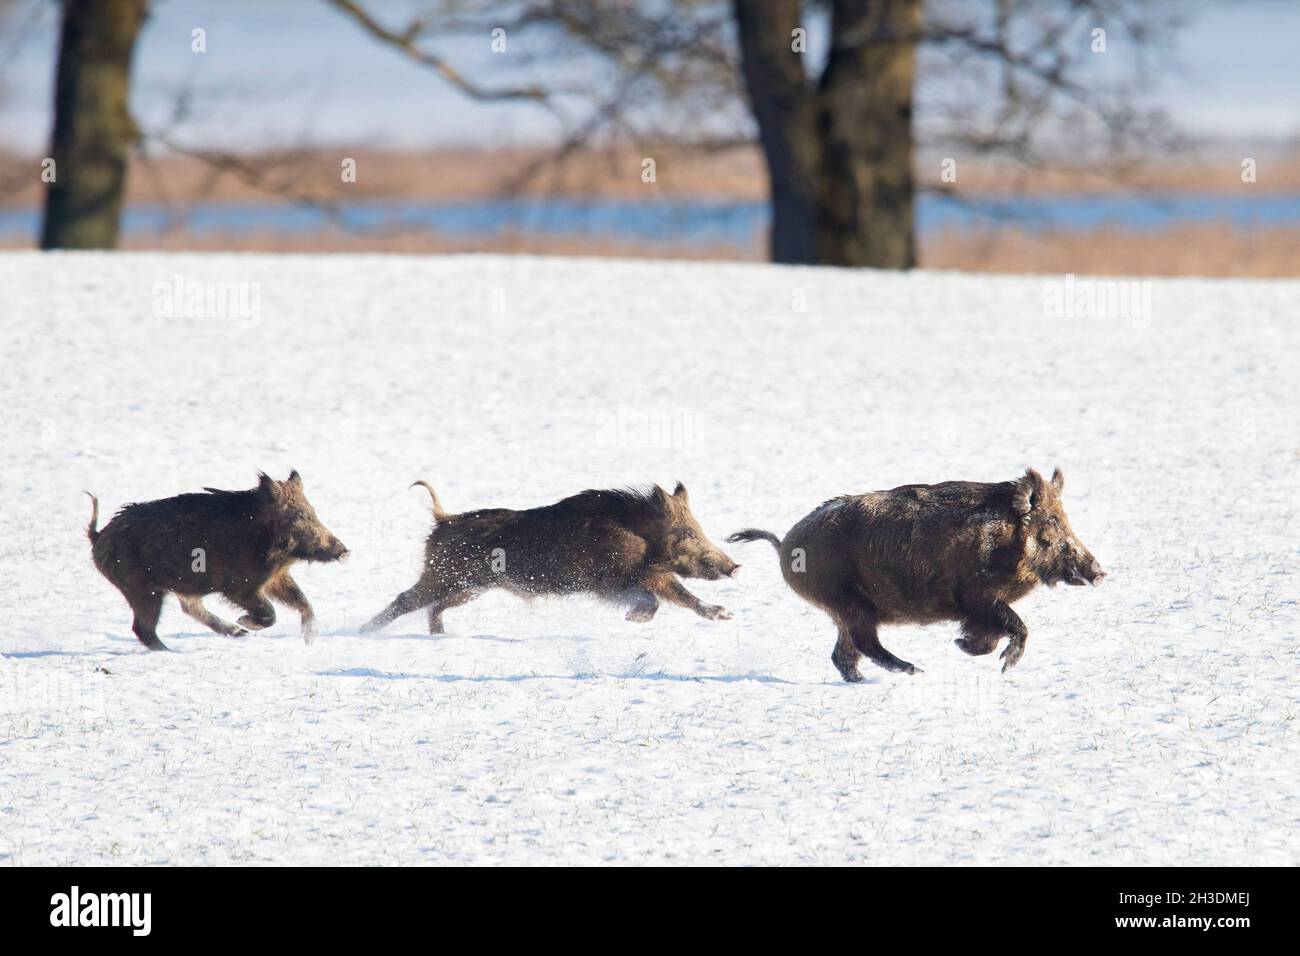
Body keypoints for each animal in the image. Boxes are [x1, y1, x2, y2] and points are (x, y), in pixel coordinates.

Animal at [86, 470, 349, 651]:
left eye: (313, 511)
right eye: (300, 515)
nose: (344, 551)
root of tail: (97, 537)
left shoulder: (275, 578)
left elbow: (301, 599)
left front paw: (310, 639)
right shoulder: (239, 587)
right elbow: (270, 612)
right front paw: (245, 622)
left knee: (188, 608)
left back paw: (237, 633)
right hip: (142, 589)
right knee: (144, 628)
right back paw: (172, 650)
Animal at [361, 481, 740, 634]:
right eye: (687, 532)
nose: (735, 567)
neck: (636, 535)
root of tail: (442, 519)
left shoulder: (631, 580)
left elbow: (669, 596)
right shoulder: (614, 578)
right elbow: (666, 596)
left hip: (469, 587)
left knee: (432, 608)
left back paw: (440, 635)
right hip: (444, 576)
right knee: (405, 599)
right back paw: (363, 632)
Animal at [728, 468, 1104, 682]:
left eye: (1067, 522)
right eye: (1049, 534)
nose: (1099, 573)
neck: (1002, 541)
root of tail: (784, 544)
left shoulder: (979, 608)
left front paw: (967, 647)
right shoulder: (980, 599)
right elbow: (1018, 627)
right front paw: (998, 663)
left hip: (846, 611)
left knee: (844, 654)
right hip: (851, 604)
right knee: (863, 644)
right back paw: (914, 670)